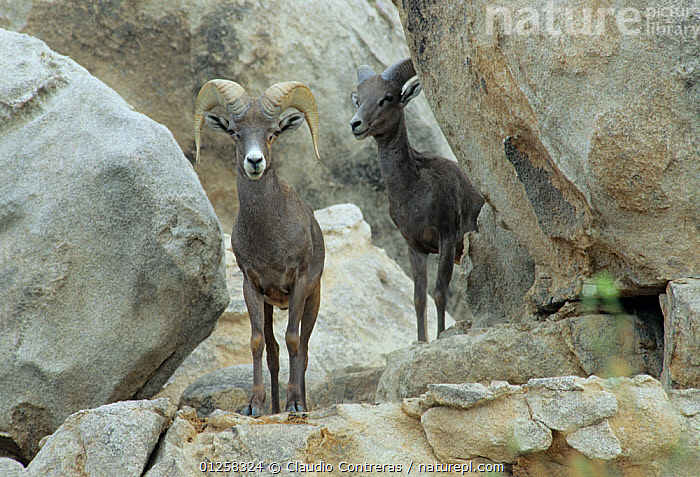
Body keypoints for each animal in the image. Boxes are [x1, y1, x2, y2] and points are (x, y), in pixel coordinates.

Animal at [194, 79, 324, 416]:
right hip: (270, 305)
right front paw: (254, 405)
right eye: (234, 132)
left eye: (273, 132)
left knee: (304, 349)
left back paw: (298, 403)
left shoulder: (299, 282)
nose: (255, 162)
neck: (269, 241)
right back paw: (275, 407)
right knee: (274, 352)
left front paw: (295, 404)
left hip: (312, 300)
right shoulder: (252, 286)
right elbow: (258, 343)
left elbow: (294, 341)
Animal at [349, 58, 484, 342]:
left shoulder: (446, 238)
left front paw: (440, 335)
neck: (416, 190)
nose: (356, 124)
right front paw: (421, 341)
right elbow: (419, 298)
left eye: (387, 98)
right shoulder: (415, 247)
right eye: (359, 100)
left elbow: (439, 293)